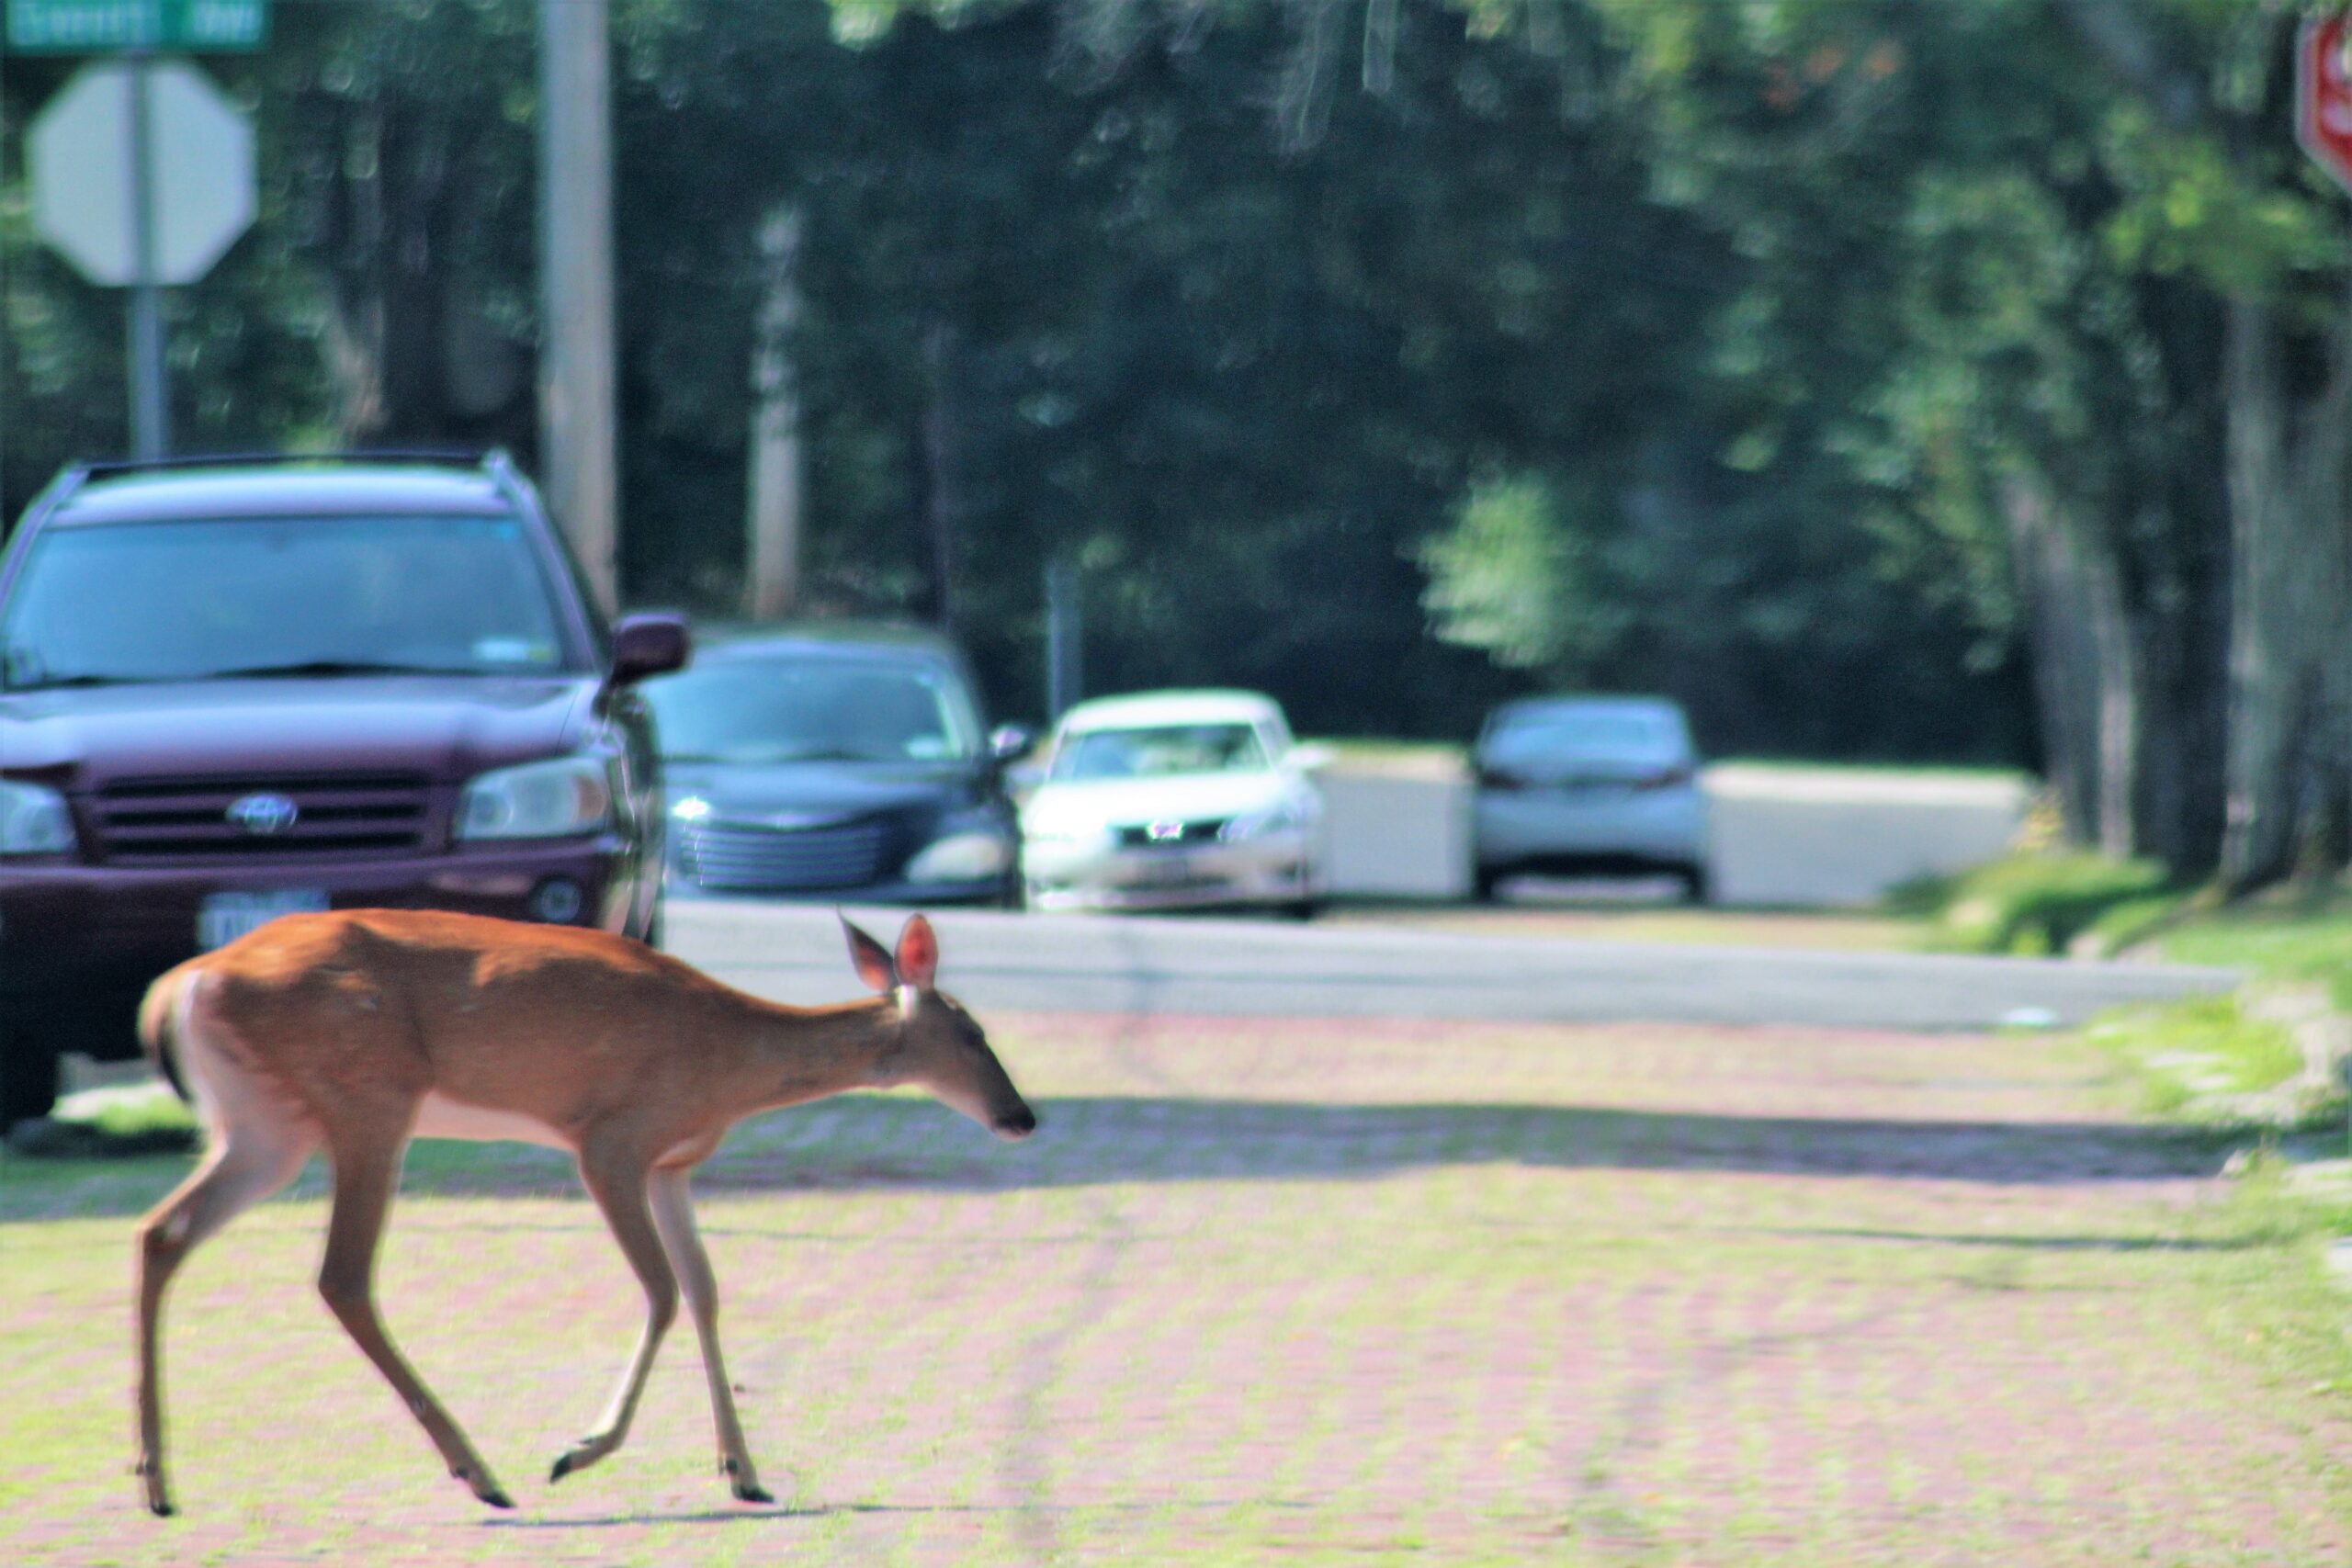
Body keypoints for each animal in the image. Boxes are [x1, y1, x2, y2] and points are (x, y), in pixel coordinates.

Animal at [130, 907, 1033, 1518]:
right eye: (974, 1032)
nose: (1020, 1116)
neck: (730, 1060)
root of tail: (185, 982)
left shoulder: (673, 1164)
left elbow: (705, 1292)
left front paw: (743, 1471)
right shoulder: (611, 1140)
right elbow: (662, 1290)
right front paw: (582, 1450)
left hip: (265, 1124)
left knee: (160, 1232)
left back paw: (157, 1482)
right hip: (367, 1099)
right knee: (341, 1276)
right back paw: (483, 1475)